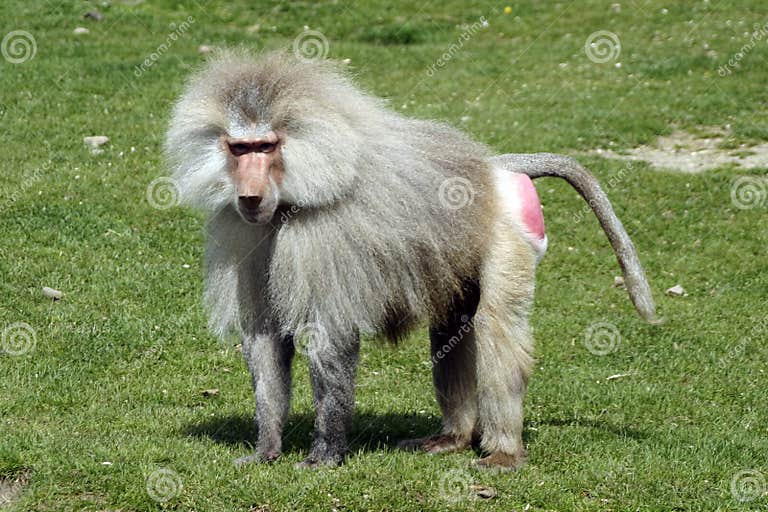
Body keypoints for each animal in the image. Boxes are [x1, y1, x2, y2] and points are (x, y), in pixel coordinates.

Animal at [165, 49, 658, 470]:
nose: (249, 195)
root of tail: (495, 166)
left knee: (496, 324)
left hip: (510, 235)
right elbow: (264, 334)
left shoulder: (324, 236)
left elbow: (330, 336)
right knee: (452, 324)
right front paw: (266, 449)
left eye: (265, 147)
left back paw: (502, 454)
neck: (300, 190)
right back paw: (453, 439)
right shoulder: (245, 230)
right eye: (238, 148)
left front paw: (325, 455)